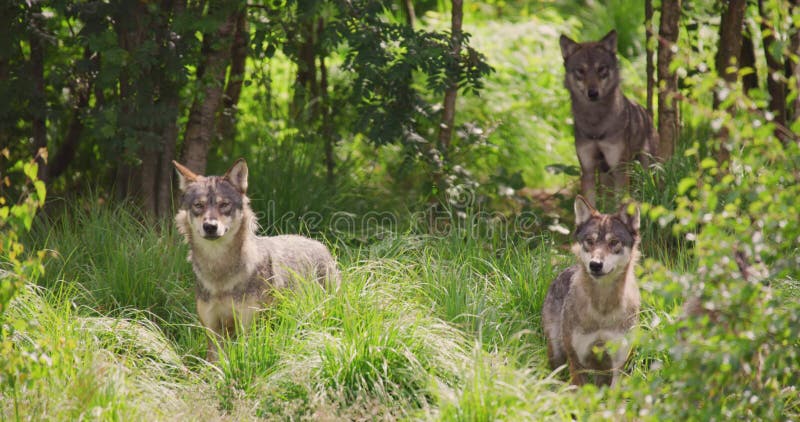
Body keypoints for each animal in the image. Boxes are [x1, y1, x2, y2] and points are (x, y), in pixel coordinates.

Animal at [173, 158, 339, 361]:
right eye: (199, 205)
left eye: (224, 204)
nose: (210, 226)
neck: (220, 274)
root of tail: (321, 244)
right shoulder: (213, 330)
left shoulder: (249, 327)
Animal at [542, 195, 641, 386]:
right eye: (590, 241)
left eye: (613, 242)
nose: (595, 265)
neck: (602, 309)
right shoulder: (577, 361)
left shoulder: (619, 364)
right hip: (557, 352)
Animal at [560, 30, 658, 207]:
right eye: (581, 71)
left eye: (601, 69)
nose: (593, 93)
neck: (595, 124)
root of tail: (646, 113)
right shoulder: (588, 170)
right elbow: (590, 203)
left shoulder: (619, 169)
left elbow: (622, 203)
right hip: (606, 174)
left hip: (647, 167)